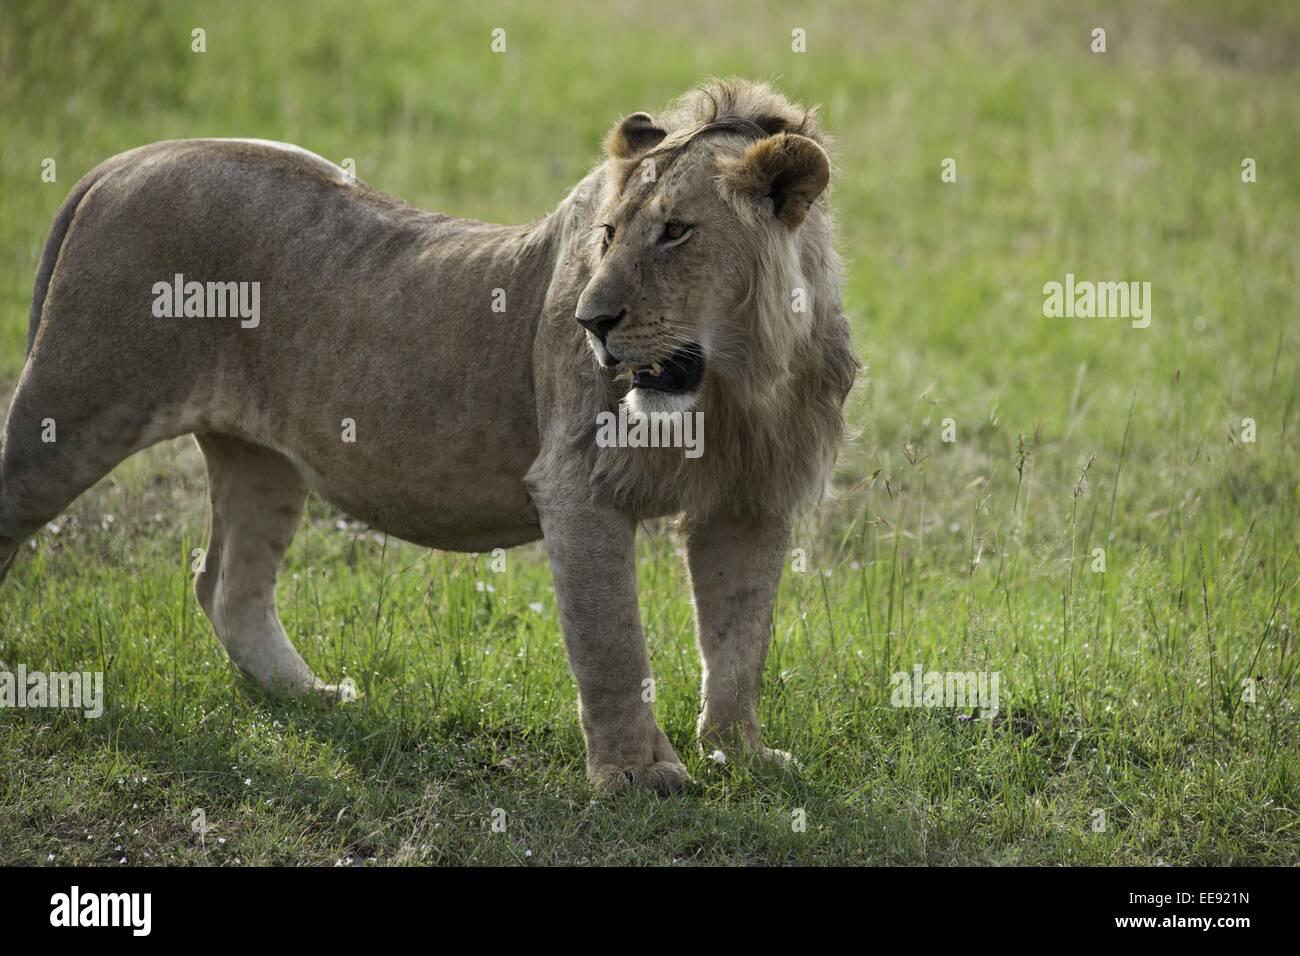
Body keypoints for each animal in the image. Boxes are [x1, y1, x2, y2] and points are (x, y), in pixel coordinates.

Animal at [0, 79, 857, 794]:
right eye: (609, 234)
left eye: (677, 231)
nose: (591, 322)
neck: (738, 384)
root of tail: (120, 163)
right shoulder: (576, 485)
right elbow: (615, 645)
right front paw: (638, 777)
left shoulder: (751, 504)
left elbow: (740, 643)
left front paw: (740, 754)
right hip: (74, 410)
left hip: (261, 459)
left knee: (227, 585)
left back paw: (313, 697)